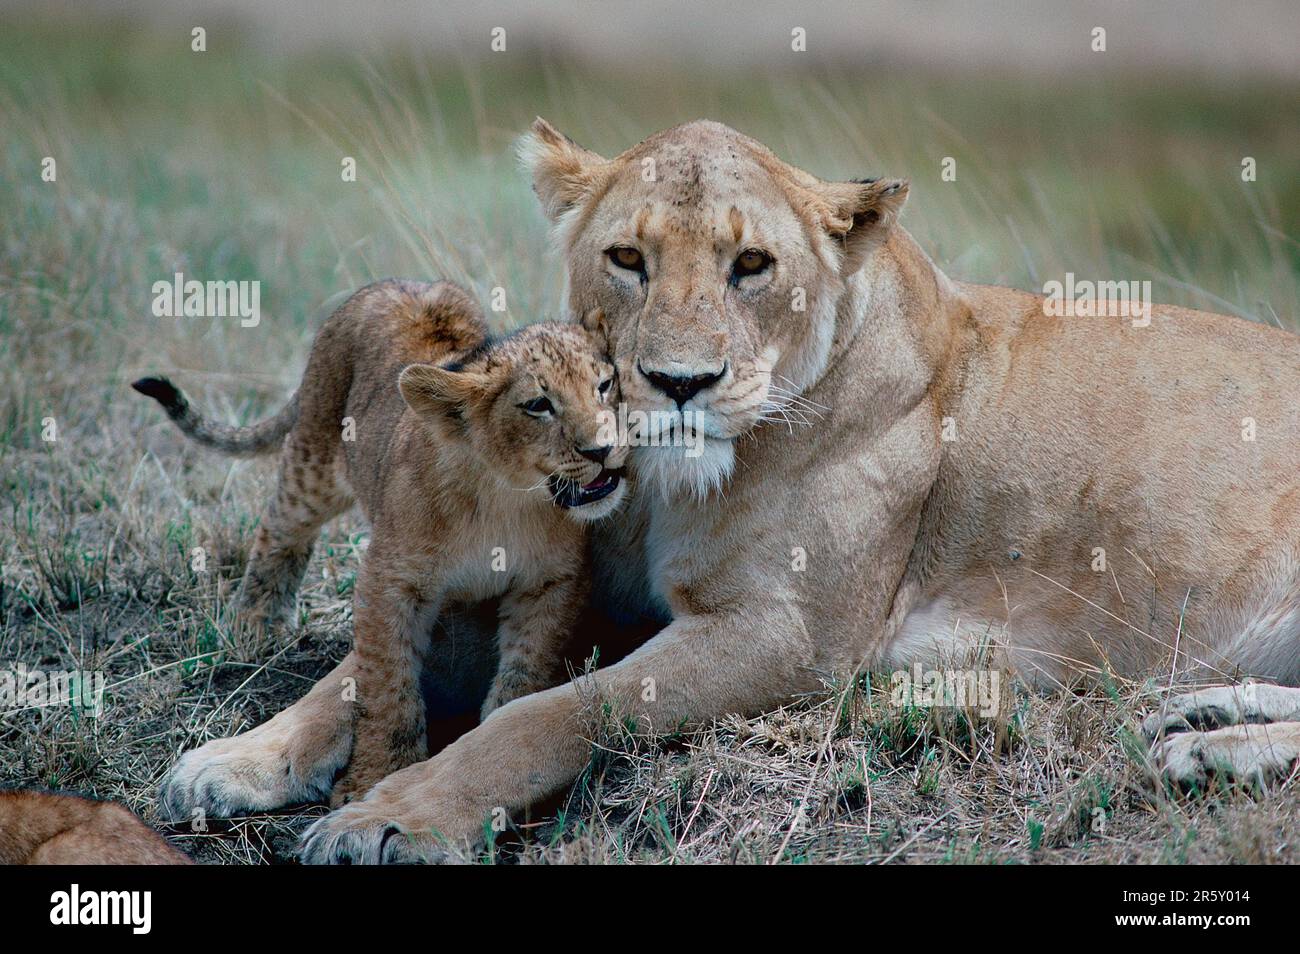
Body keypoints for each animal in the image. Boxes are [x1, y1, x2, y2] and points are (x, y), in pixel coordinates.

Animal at [140, 279, 627, 810]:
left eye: (605, 385)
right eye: (539, 405)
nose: (602, 449)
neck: (508, 497)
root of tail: (398, 283)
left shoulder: (550, 583)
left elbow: (524, 675)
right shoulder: (390, 581)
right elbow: (387, 685)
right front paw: (377, 774)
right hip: (312, 459)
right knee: (281, 529)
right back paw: (256, 623)